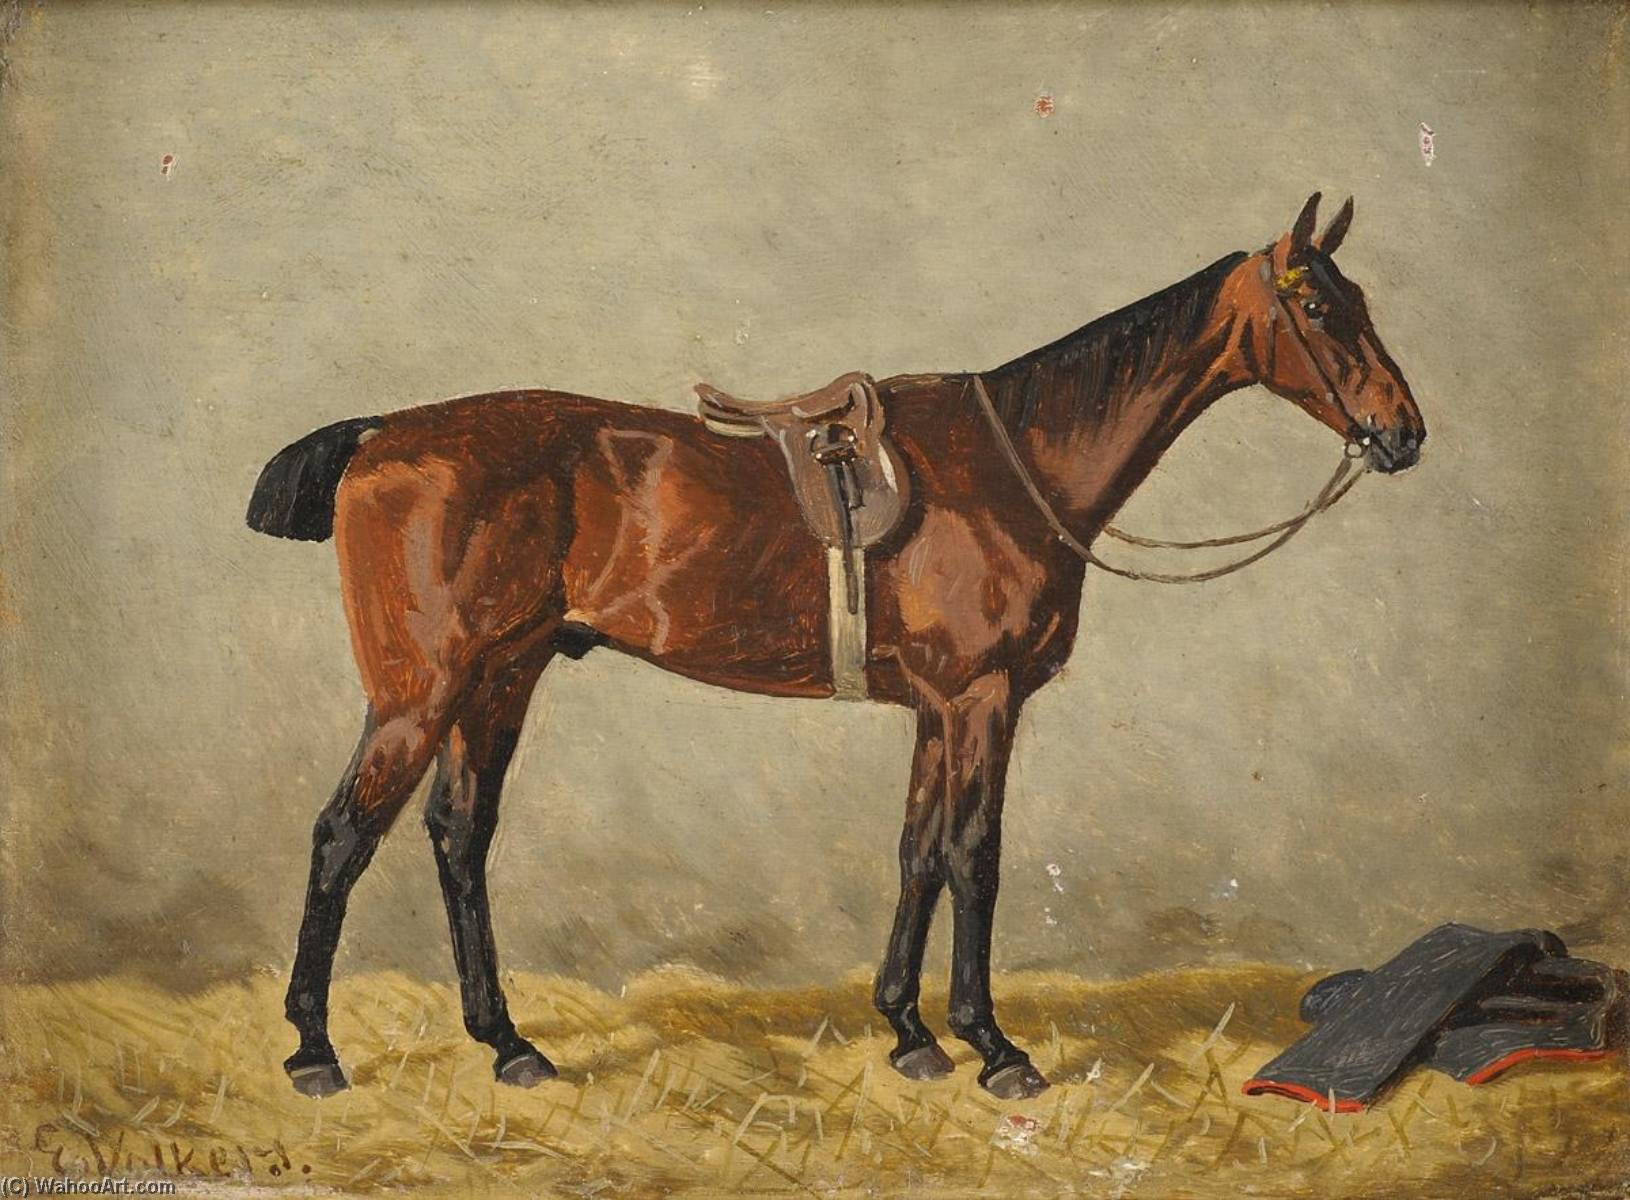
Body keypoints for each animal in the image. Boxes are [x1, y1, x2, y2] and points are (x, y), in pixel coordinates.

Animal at [247, 193, 1425, 1102]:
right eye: (1318, 306)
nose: (1405, 433)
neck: (1016, 463)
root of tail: (383, 432)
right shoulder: (982, 698)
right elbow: (974, 856)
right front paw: (993, 1045)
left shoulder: (938, 707)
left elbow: (915, 853)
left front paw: (908, 1032)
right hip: (420, 693)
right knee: (340, 839)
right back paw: (312, 1051)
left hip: (501, 678)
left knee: (458, 838)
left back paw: (507, 1044)